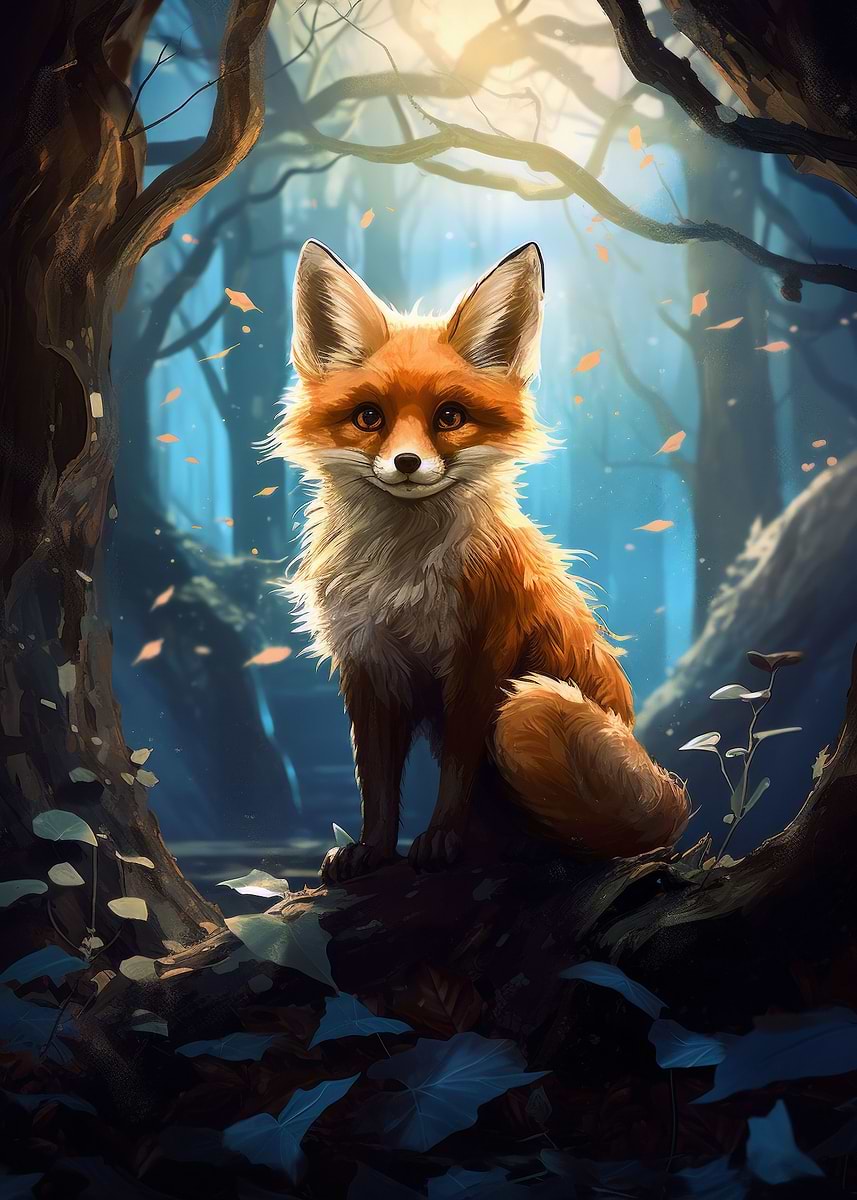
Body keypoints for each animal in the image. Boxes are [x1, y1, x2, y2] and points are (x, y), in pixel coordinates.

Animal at [266, 239, 689, 881]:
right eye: (369, 417)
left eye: (449, 417)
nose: (407, 463)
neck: (403, 572)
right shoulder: (368, 662)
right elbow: (376, 781)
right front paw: (373, 850)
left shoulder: (483, 653)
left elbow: (458, 769)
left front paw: (441, 838)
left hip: (529, 707)